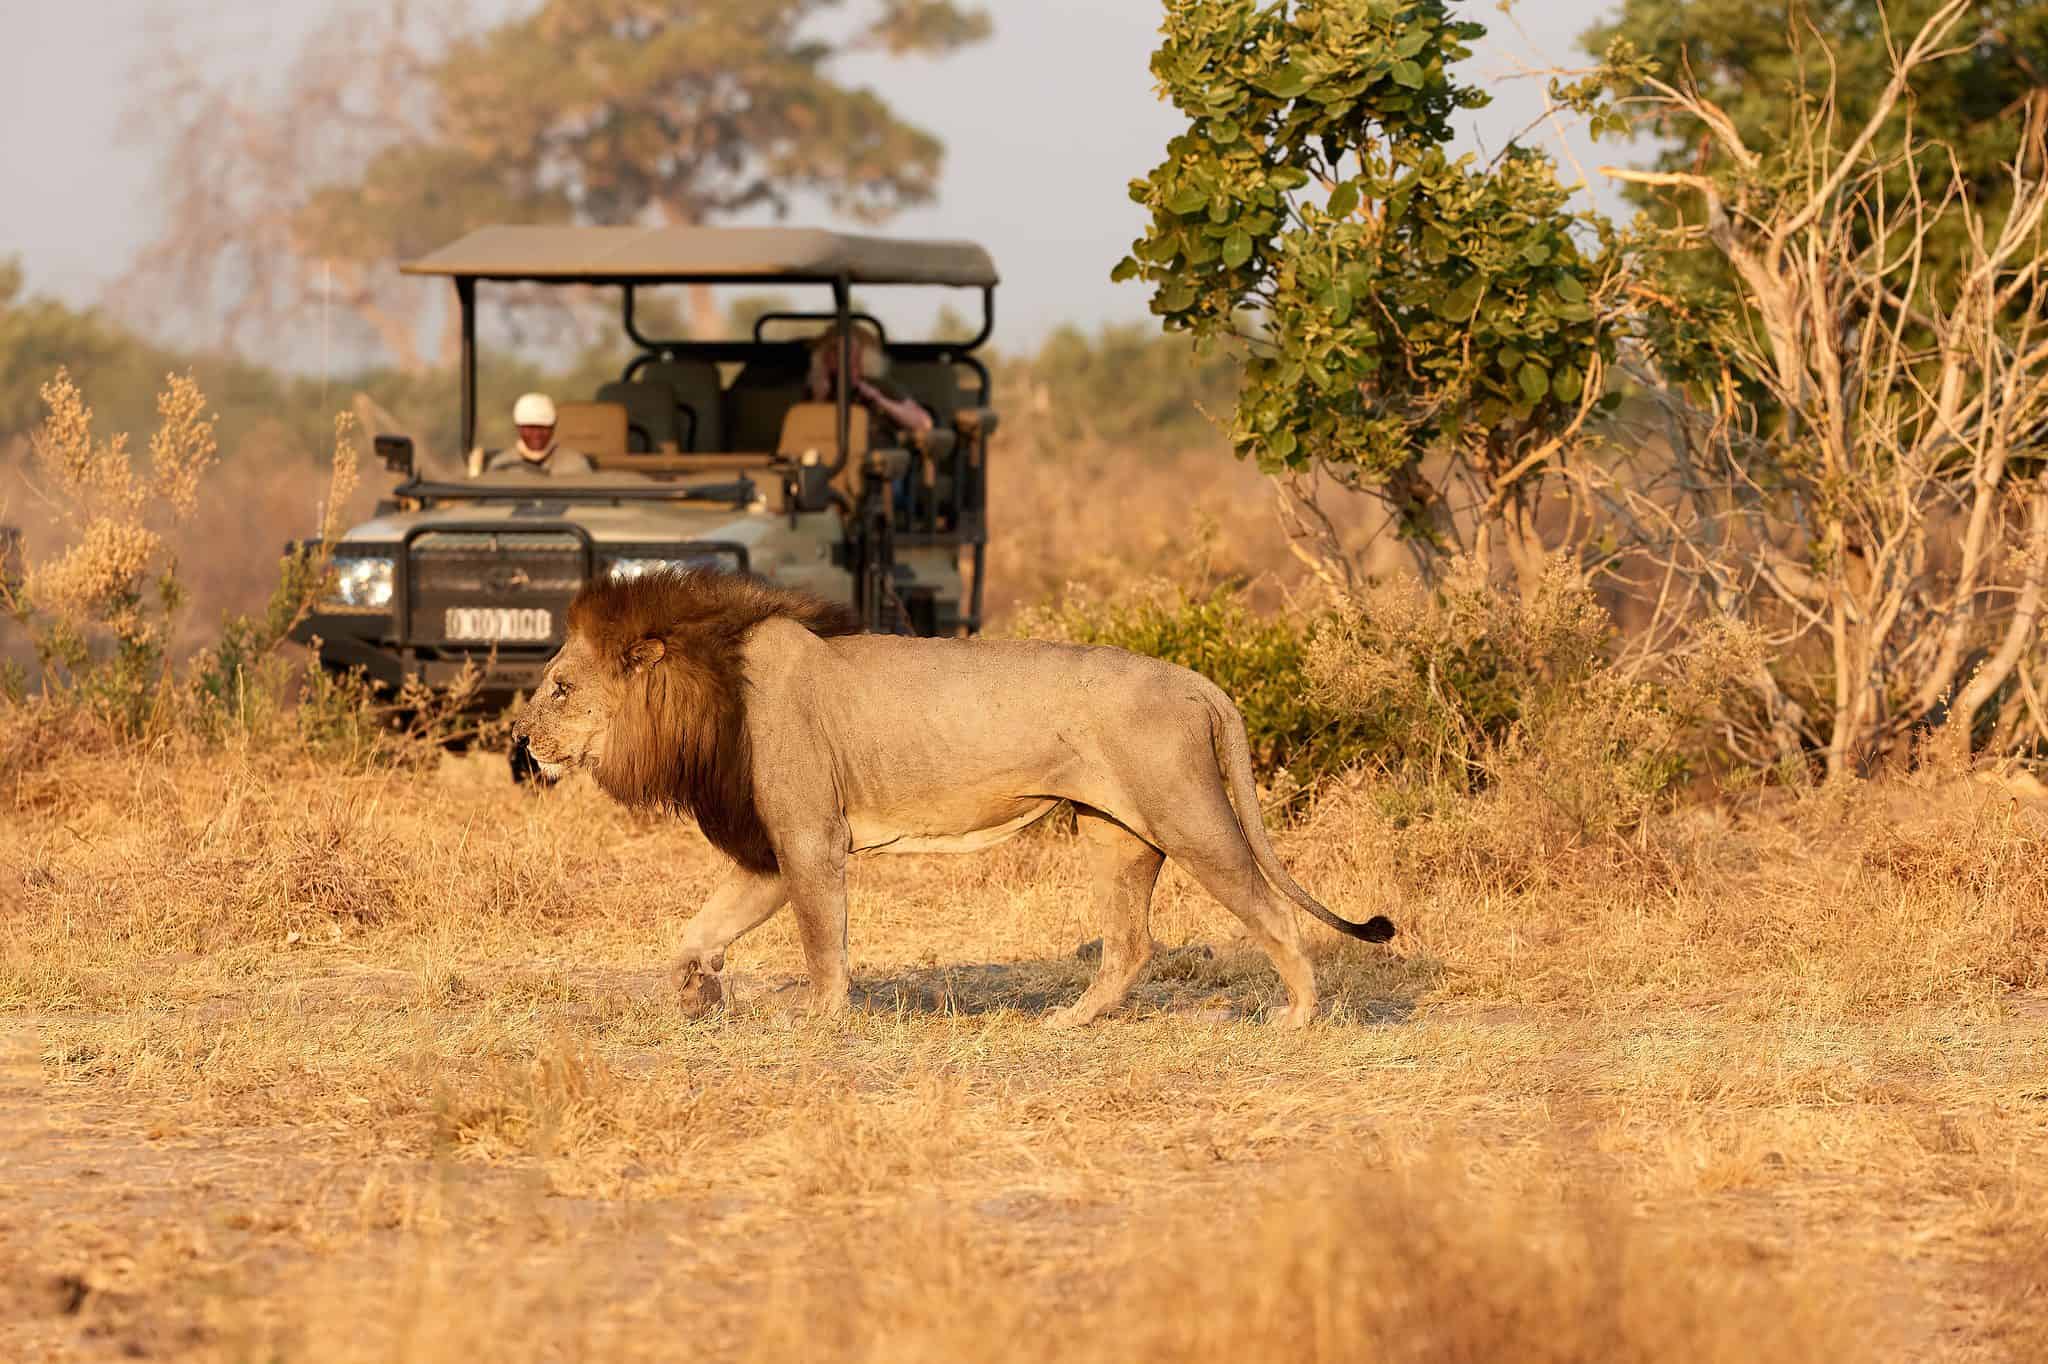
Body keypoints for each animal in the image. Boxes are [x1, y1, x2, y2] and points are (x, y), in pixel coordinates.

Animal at [511, 570, 1395, 1028]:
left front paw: (821, 1019)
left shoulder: (807, 839)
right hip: (1117, 833)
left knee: (1270, 910)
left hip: (1189, 818)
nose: (520, 741)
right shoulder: (768, 850)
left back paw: (1298, 1016)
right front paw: (697, 991)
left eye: (559, 689)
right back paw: (1067, 1022)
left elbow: (822, 942)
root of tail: (1197, 680)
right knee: (1130, 945)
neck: (708, 686)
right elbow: (696, 931)